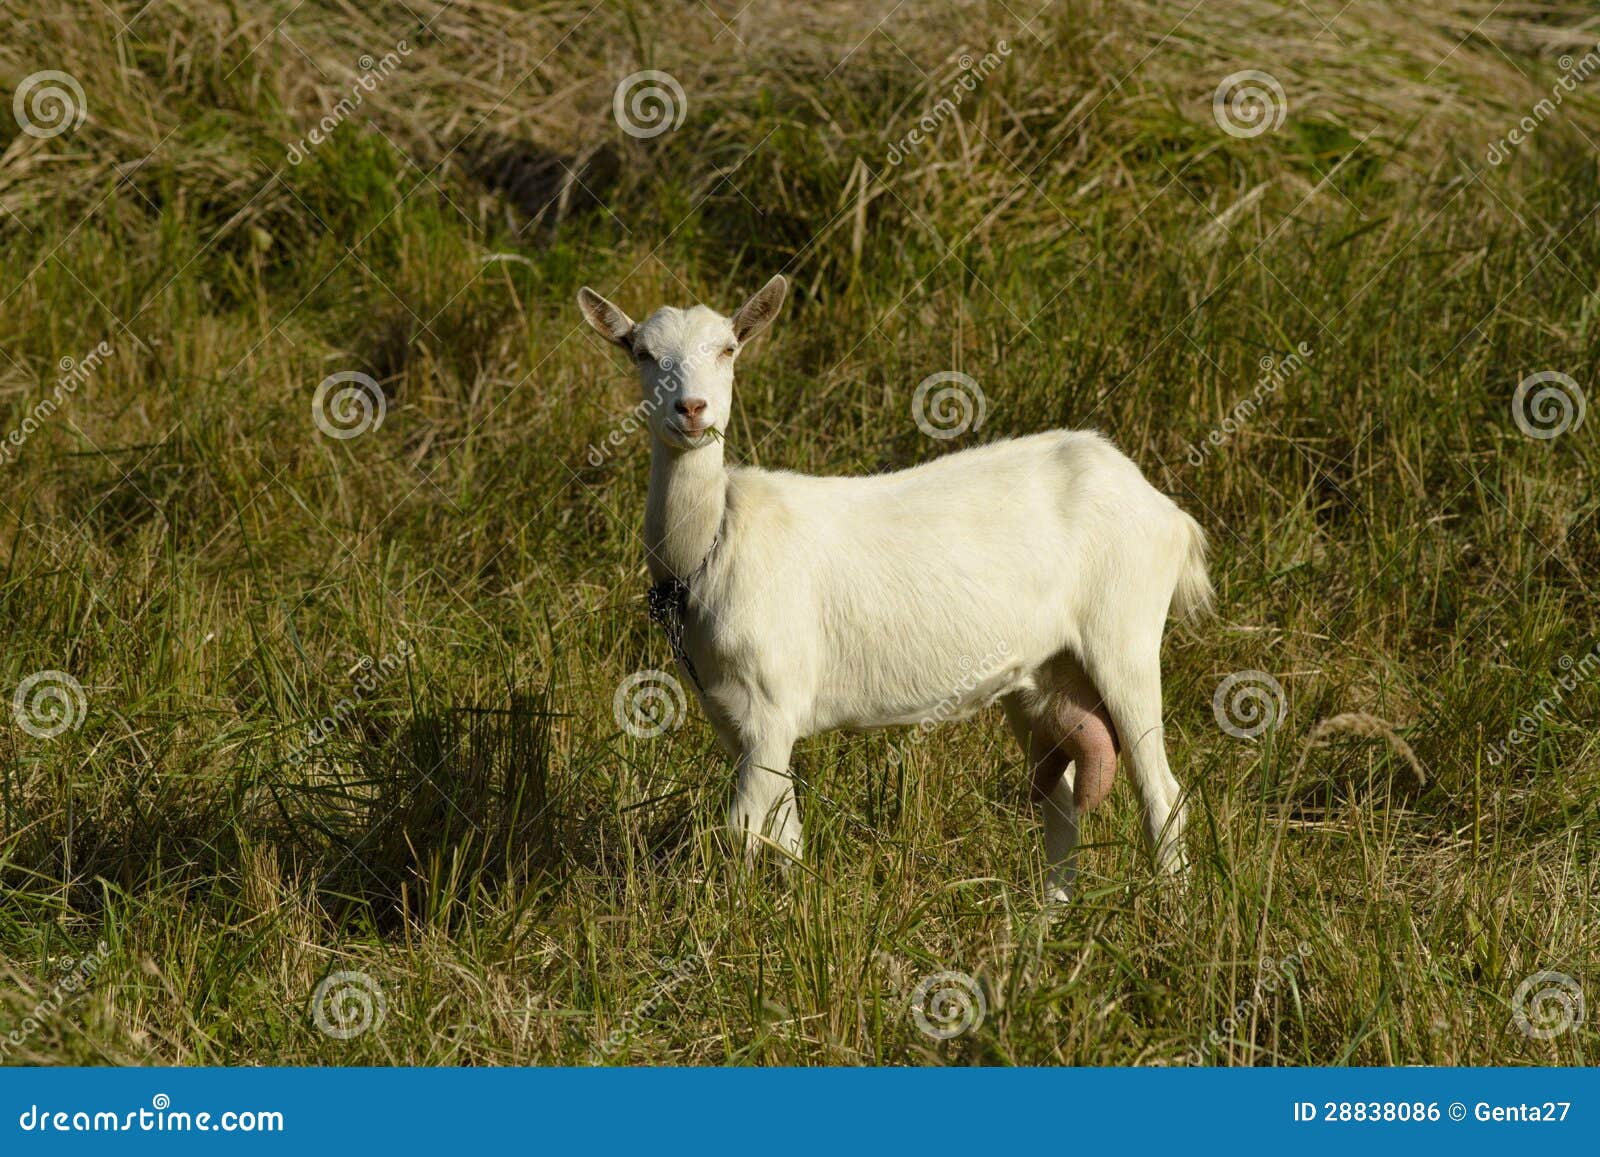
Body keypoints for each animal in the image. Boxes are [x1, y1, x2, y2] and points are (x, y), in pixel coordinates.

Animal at [578, 275, 1211, 901]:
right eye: (641, 353)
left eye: (729, 348)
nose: (691, 409)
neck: (714, 545)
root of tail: (1167, 512)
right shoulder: (734, 713)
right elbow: (785, 833)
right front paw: (795, 910)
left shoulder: (773, 700)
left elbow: (743, 833)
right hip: (1045, 672)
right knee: (1059, 798)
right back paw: (1050, 914)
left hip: (1124, 630)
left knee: (1161, 793)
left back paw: (1172, 911)